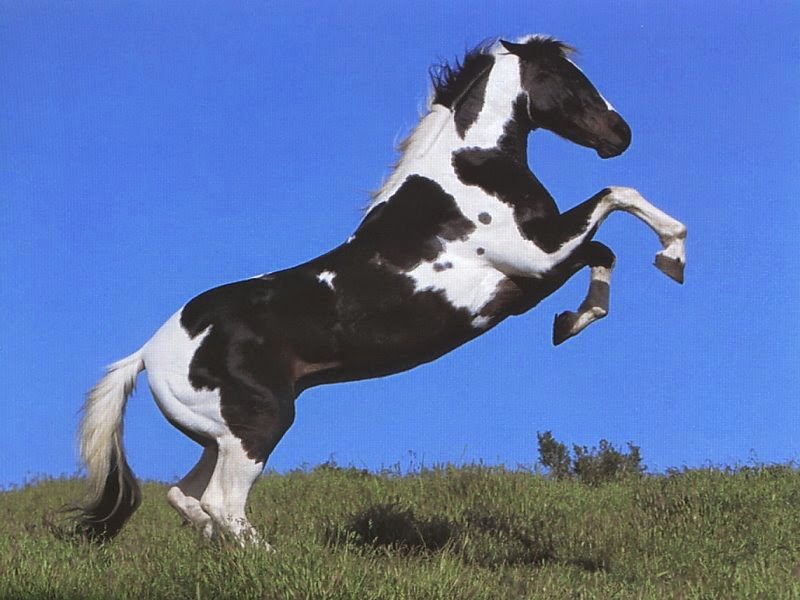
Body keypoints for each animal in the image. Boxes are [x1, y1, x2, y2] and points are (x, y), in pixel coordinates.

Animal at [75, 35, 686, 546]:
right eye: (562, 75)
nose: (620, 134)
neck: (466, 173)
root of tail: (149, 353)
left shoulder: (539, 272)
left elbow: (603, 251)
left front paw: (570, 323)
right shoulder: (537, 259)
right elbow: (617, 197)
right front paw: (673, 257)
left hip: (218, 434)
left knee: (188, 497)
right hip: (259, 424)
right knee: (223, 505)